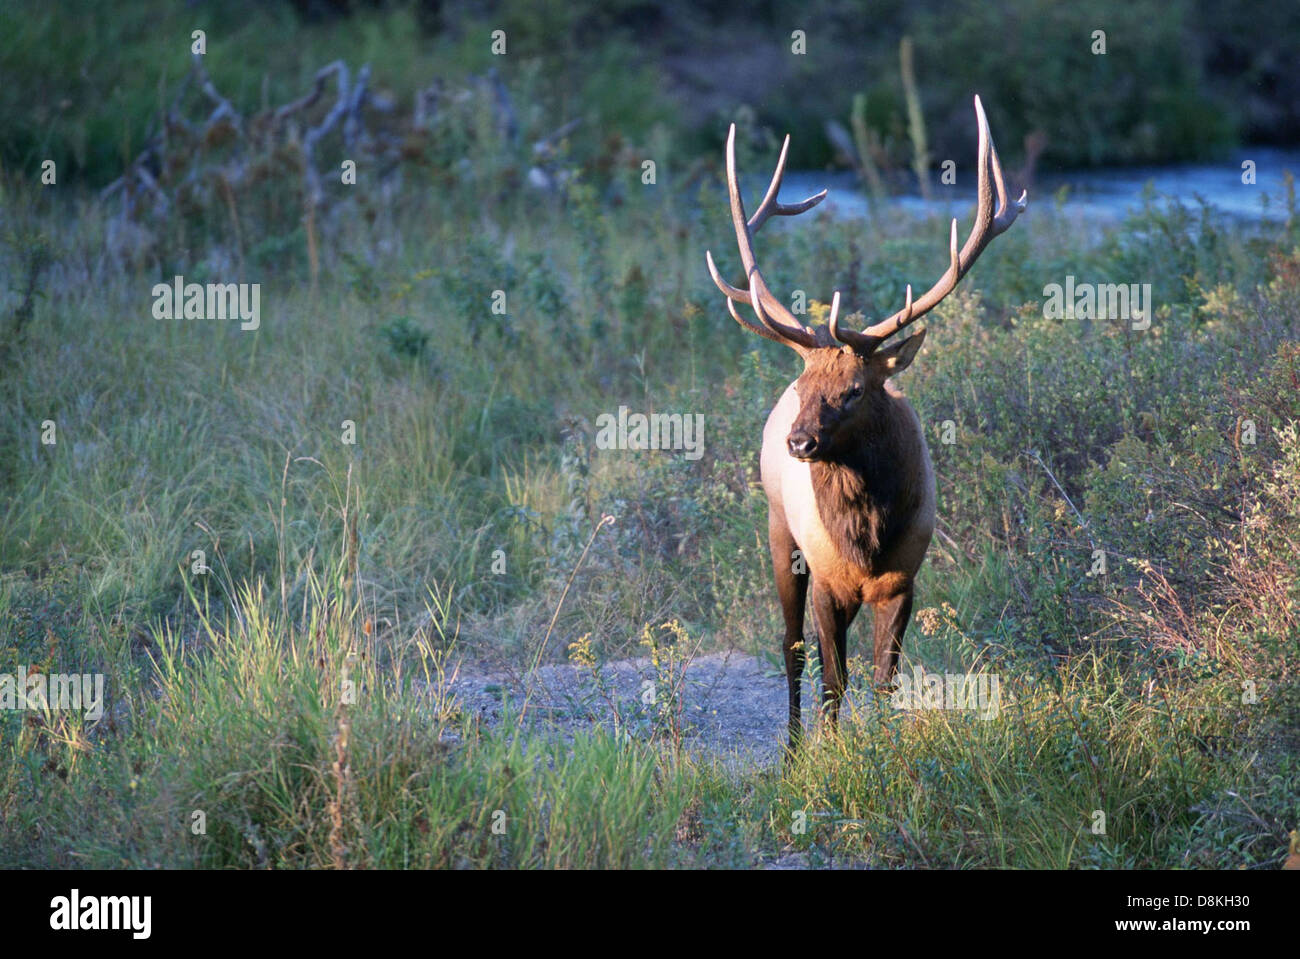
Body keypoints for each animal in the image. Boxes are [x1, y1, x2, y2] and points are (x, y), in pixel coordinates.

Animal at [705, 96, 1026, 752]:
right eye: (804, 388)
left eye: (854, 390)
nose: (799, 440)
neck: (866, 536)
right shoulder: (827, 577)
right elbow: (833, 677)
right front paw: (826, 755)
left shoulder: (903, 578)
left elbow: (883, 680)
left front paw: (883, 747)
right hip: (778, 528)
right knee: (791, 646)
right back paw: (793, 746)